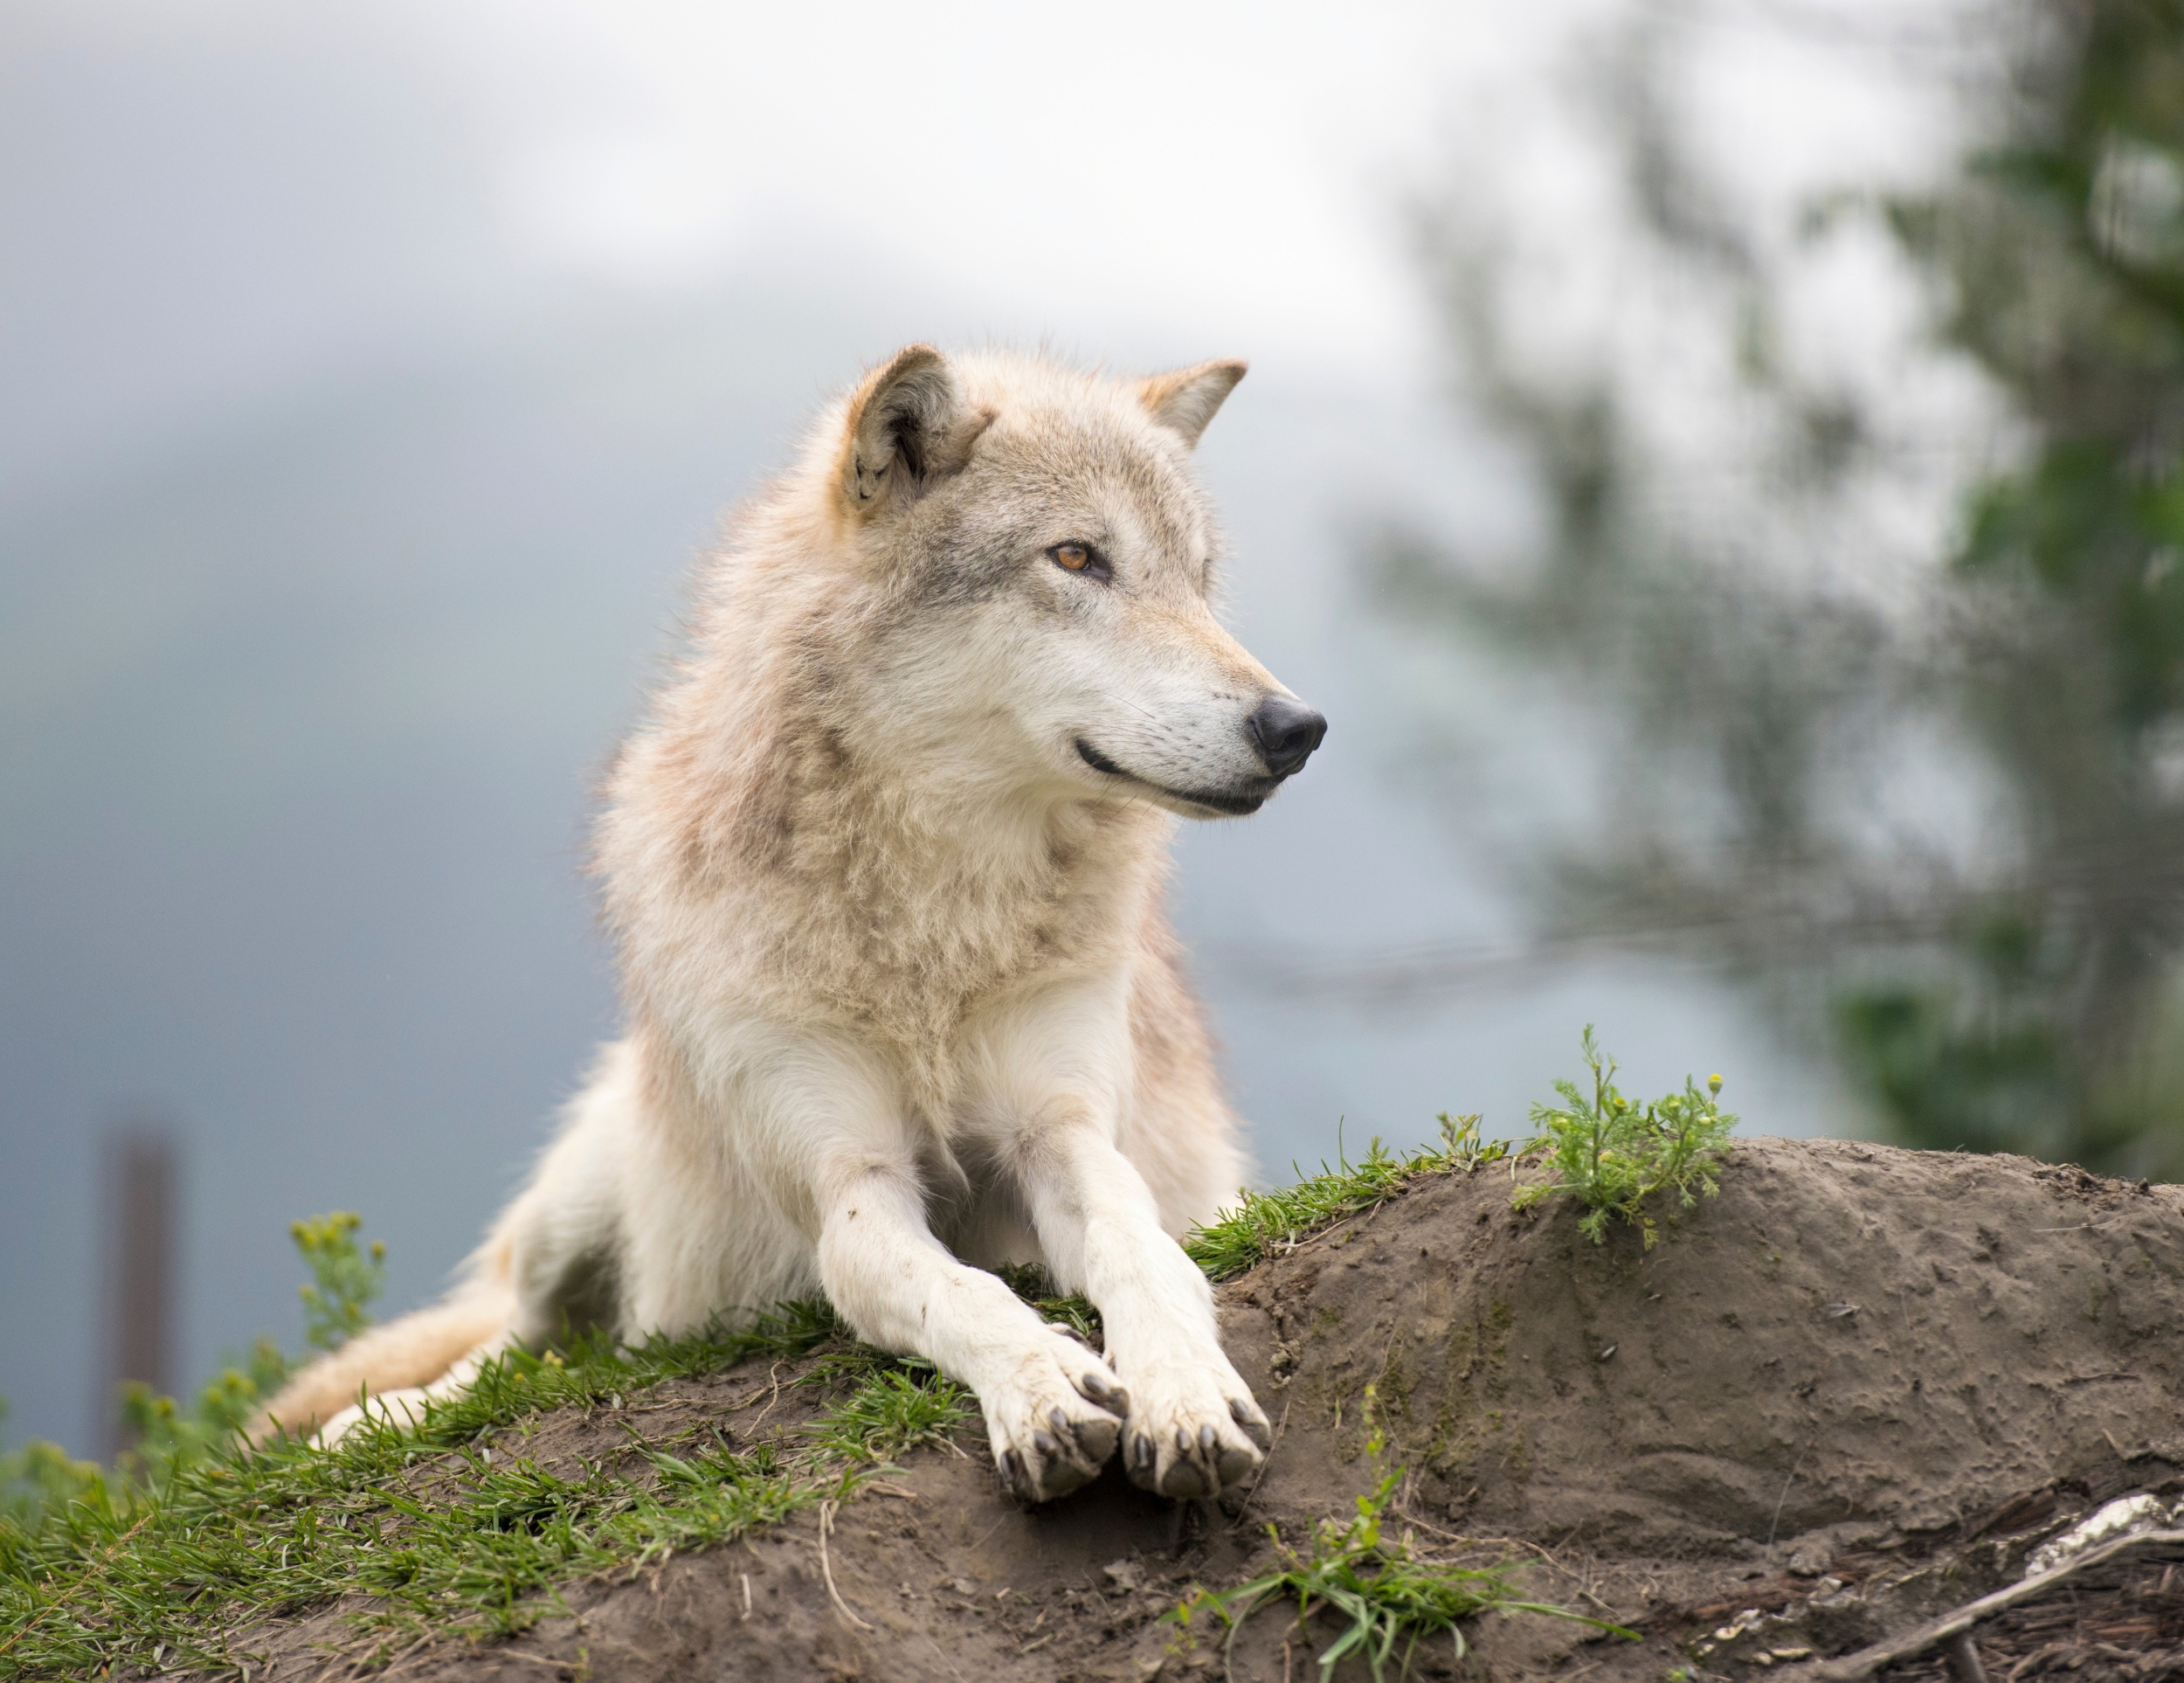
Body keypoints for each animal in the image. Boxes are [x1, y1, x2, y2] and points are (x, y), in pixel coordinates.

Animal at [258, 346, 1327, 1503]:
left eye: (1198, 578)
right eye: (1077, 557)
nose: (1296, 728)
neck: (936, 919)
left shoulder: (1066, 1131)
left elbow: (1144, 1251)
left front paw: (1185, 1394)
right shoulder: (848, 1188)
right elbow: (969, 1293)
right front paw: (1043, 1386)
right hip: (579, 1200)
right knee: (509, 1343)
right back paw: (371, 1423)